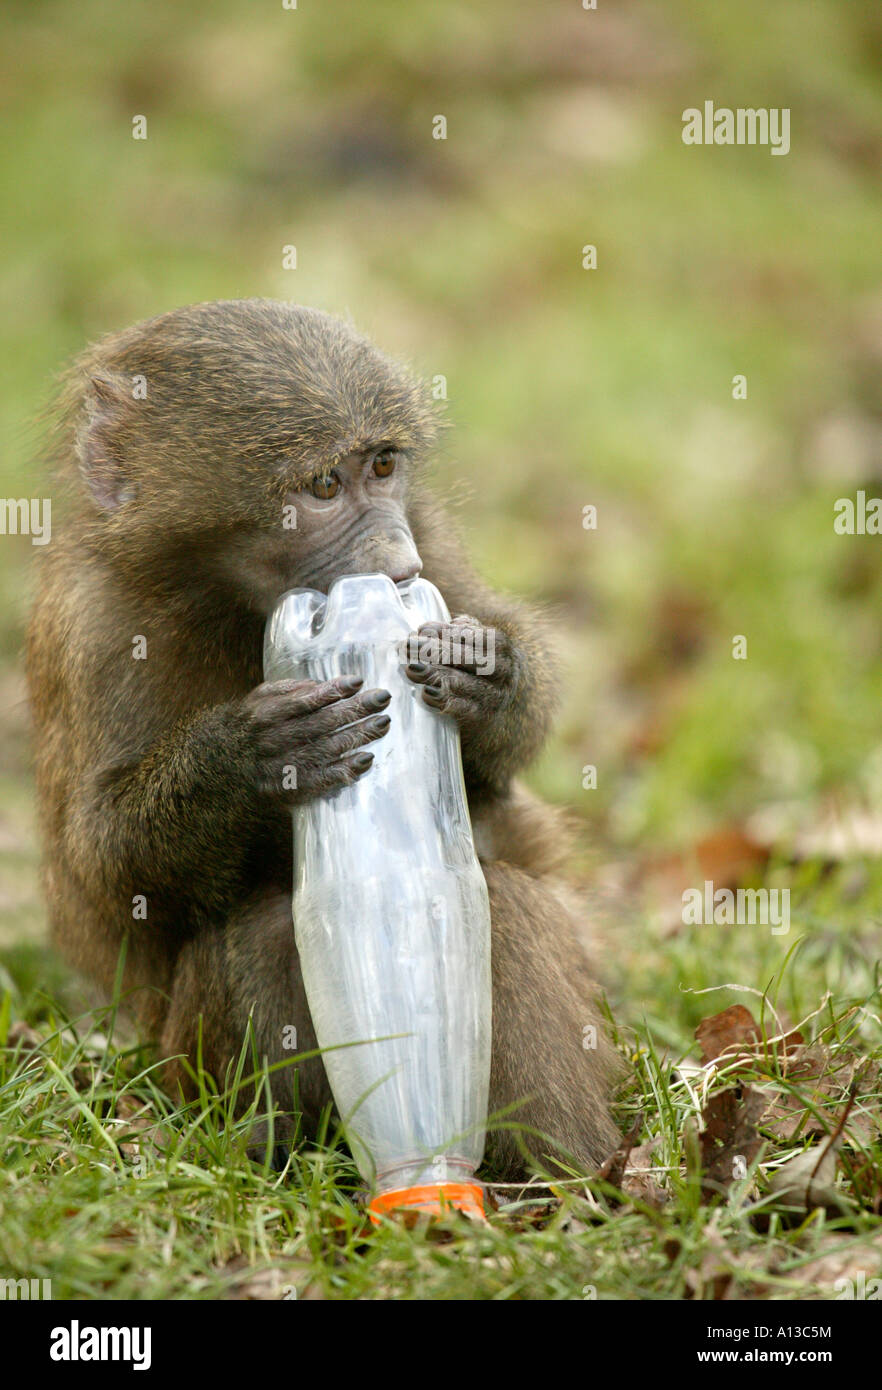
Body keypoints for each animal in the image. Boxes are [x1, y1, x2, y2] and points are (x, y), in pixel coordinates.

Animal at [26, 299, 622, 1179]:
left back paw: (572, 1178)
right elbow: (104, 871)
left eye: (383, 467)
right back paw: (276, 1157)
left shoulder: (430, 538)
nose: (397, 565)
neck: (224, 599)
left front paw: (486, 675)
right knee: (258, 931)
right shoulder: (90, 622)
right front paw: (246, 760)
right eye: (322, 487)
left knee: (505, 905)